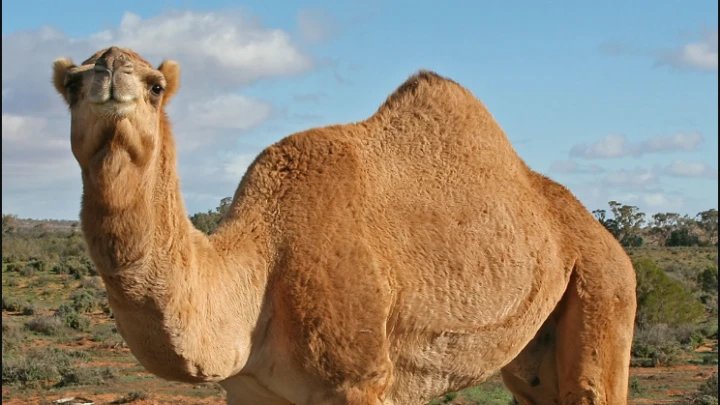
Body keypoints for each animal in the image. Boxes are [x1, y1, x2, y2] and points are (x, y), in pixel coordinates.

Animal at [52, 46, 636, 405]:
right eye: (72, 83)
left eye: (155, 86)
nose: (110, 69)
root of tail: (609, 243)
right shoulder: (249, 389)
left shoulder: (358, 379)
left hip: (604, 288)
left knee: (593, 387)